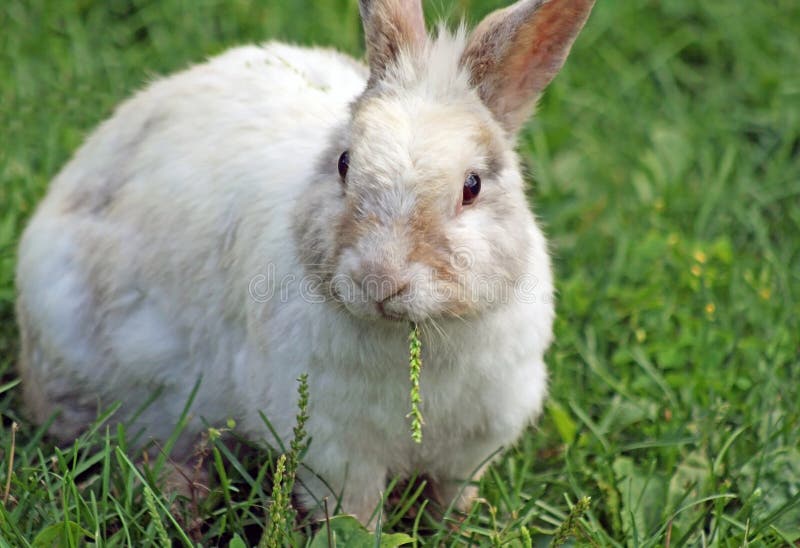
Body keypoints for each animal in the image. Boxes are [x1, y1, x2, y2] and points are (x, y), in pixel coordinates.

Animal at [16, 0, 595, 525]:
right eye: (344, 164)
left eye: (472, 186)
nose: (379, 280)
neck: (418, 331)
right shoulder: (335, 451)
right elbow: (353, 514)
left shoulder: (473, 444)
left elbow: (451, 497)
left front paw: (456, 526)